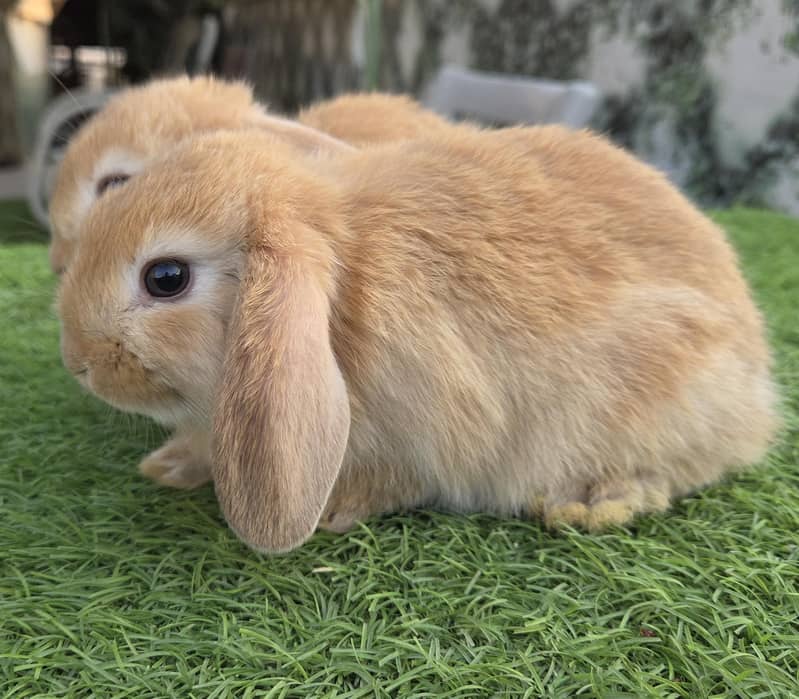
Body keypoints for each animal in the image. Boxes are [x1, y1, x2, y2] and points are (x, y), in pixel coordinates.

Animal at [57, 125, 779, 552]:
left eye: (166, 277)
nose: (77, 362)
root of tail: (757, 388)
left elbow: (398, 479)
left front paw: (335, 511)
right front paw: (169, 466)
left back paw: (591, 504)